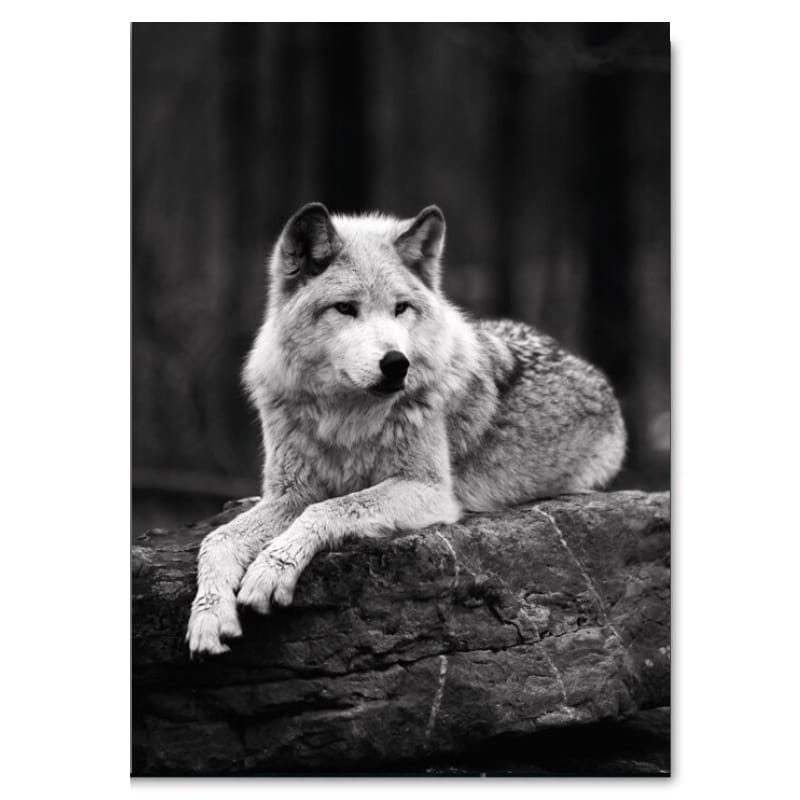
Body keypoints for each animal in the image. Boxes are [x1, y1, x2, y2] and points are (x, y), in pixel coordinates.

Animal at [186, 202, 626, 657]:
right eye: (345, 308)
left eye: (401, 308)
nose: (397, 363)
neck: (346, 418)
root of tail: (583, 363)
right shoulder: (290, 493)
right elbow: (216, 538)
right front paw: (208, 617)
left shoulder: (428, 489)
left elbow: (329, 508)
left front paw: (270, 570)